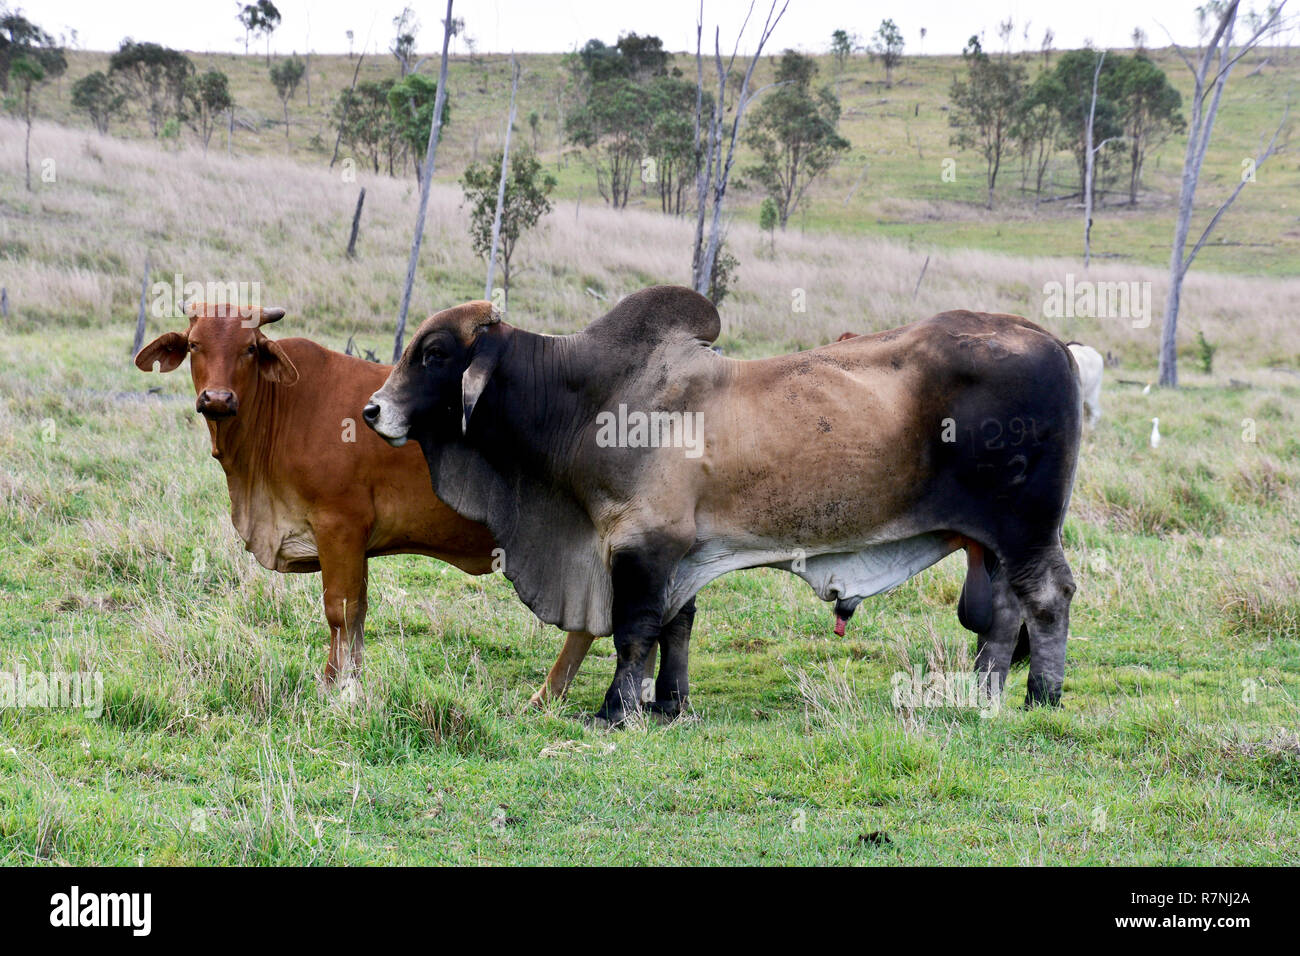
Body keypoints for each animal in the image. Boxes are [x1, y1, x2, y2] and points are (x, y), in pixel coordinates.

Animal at [134, 302, 596, 700]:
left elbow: (339, 610)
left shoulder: (339, 525)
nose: (217, 399)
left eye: (249, 347)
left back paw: (548, 694)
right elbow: (358, 612)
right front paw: (352, 682)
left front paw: (332, 685)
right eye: (195, 344)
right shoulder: (355, 542)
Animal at [363, 287, 1081, 726]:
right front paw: (668, 704)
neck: (586, 400)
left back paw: (1041, 696)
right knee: (1006, 610)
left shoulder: (643, 543)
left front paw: (616, 712)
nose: (371, 411)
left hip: (1025, 527)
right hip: (998, 538)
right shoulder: (683, 554)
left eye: (434, 353)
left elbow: (634, 632)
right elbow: (676, 627)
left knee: (1047, 596)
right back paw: (984, 692)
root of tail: (1051, 340)